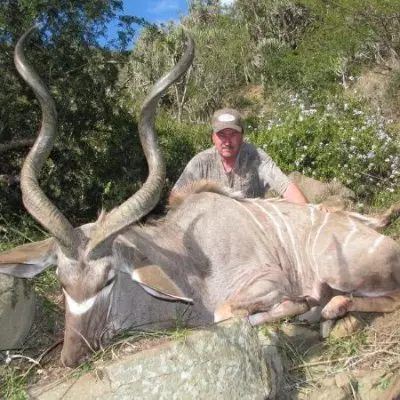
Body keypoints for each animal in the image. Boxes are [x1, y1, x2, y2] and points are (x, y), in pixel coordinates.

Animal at [0, 26, 400, 368]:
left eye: (109, 279)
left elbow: (227, 312)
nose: (71, 357)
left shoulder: (268, 282)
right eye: (63, 282)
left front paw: (303, 305)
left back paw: (329, 310)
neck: (188, 259)